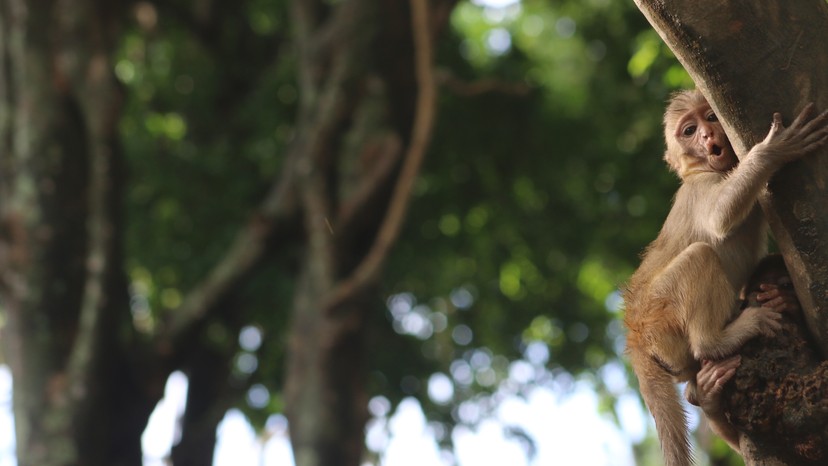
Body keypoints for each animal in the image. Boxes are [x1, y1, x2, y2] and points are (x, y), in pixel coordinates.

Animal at [623, 89, 828, 466]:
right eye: (689, 130)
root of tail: (635, 333)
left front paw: (784, 297)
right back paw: (716, 341)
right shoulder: (703, 187)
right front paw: (772, 151)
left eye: (709, 117)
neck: (702, 170)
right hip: (661, 317)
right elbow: (719, 218)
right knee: (700, 255)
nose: (706, 136)